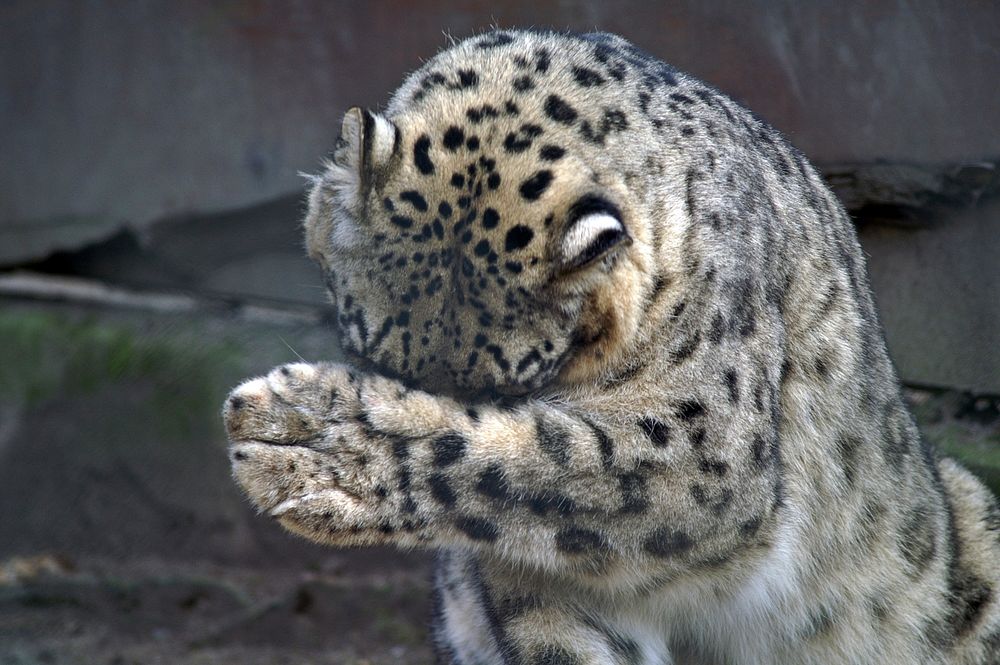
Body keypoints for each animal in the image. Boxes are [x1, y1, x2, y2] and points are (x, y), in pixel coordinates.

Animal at [223, 29, 1000, 664]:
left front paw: (304, 439)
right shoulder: (545, 584)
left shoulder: (708, 443)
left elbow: (542, 460)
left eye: (509, 392)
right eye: (374, 356)